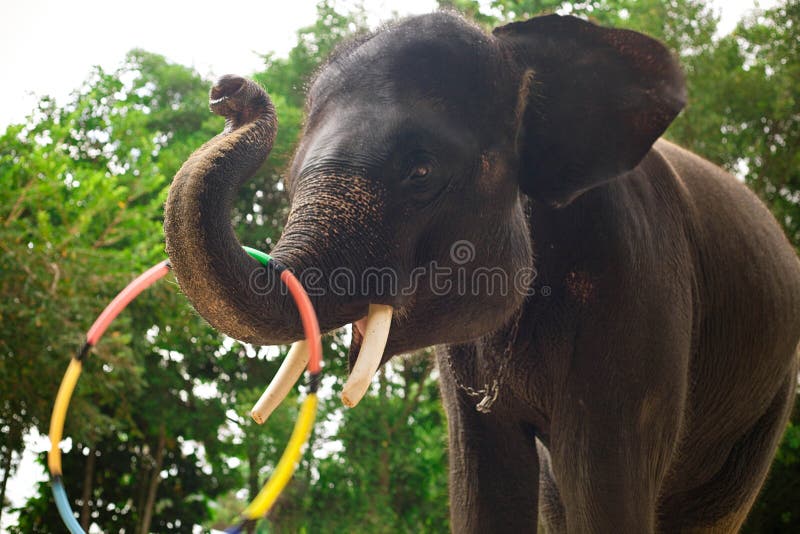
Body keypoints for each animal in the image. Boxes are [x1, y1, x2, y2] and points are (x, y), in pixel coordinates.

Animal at [163, 11, 800, 533]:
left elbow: (605, 484)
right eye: (292, 179)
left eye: (420, 172)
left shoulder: (637, 283)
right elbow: (486, 485)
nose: (228, 92)